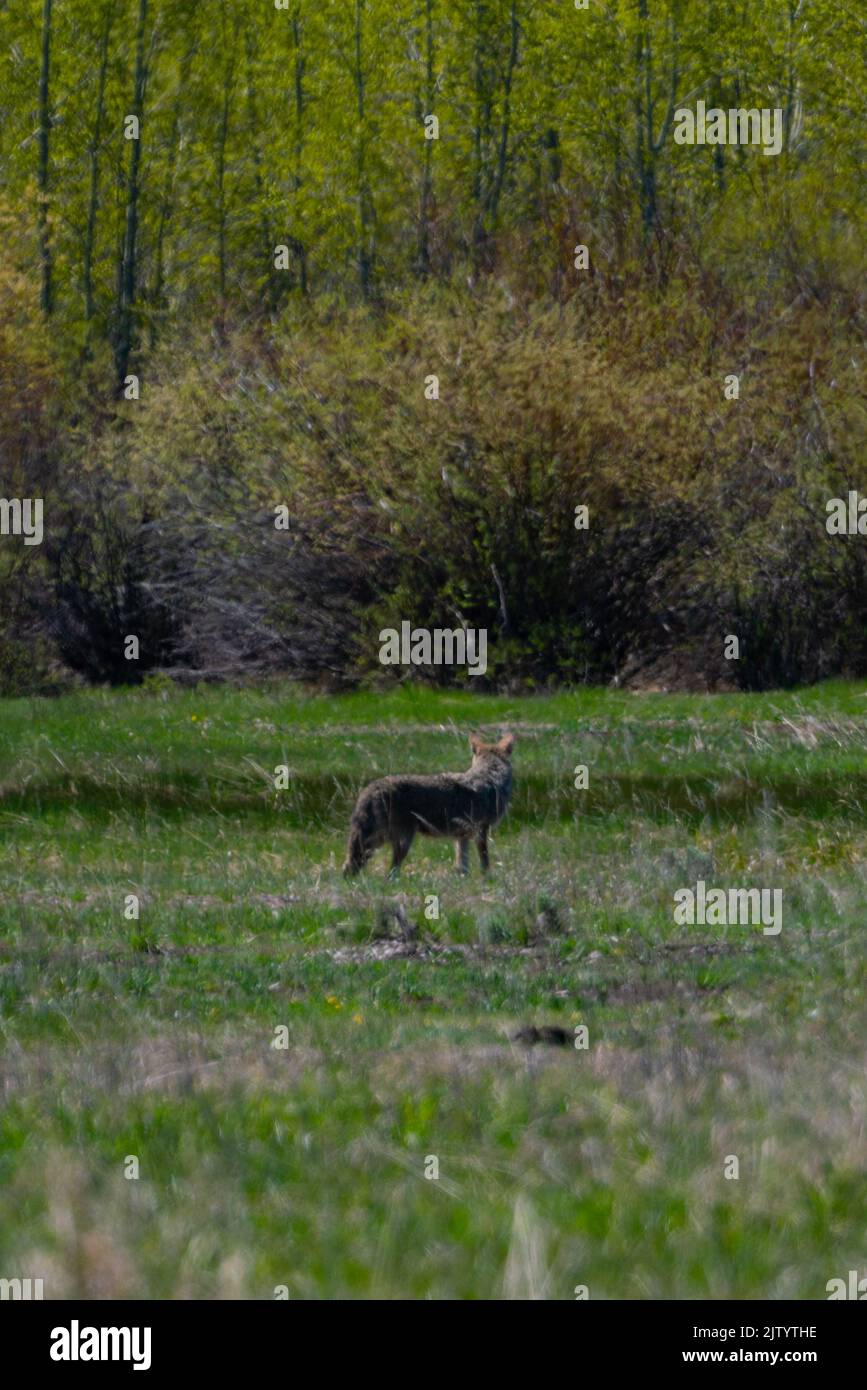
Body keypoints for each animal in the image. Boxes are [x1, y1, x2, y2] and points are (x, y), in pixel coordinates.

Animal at [343, 732, 516, 877]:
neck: (489, 776)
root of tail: (372, 788)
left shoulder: (462, 836)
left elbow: (462, 864)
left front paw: (463, 879)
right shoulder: (481, 830)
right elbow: (484, 859)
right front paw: (487, 877)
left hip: (376, 842)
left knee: (351, 866)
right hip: (398, 842)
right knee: (390, 872)